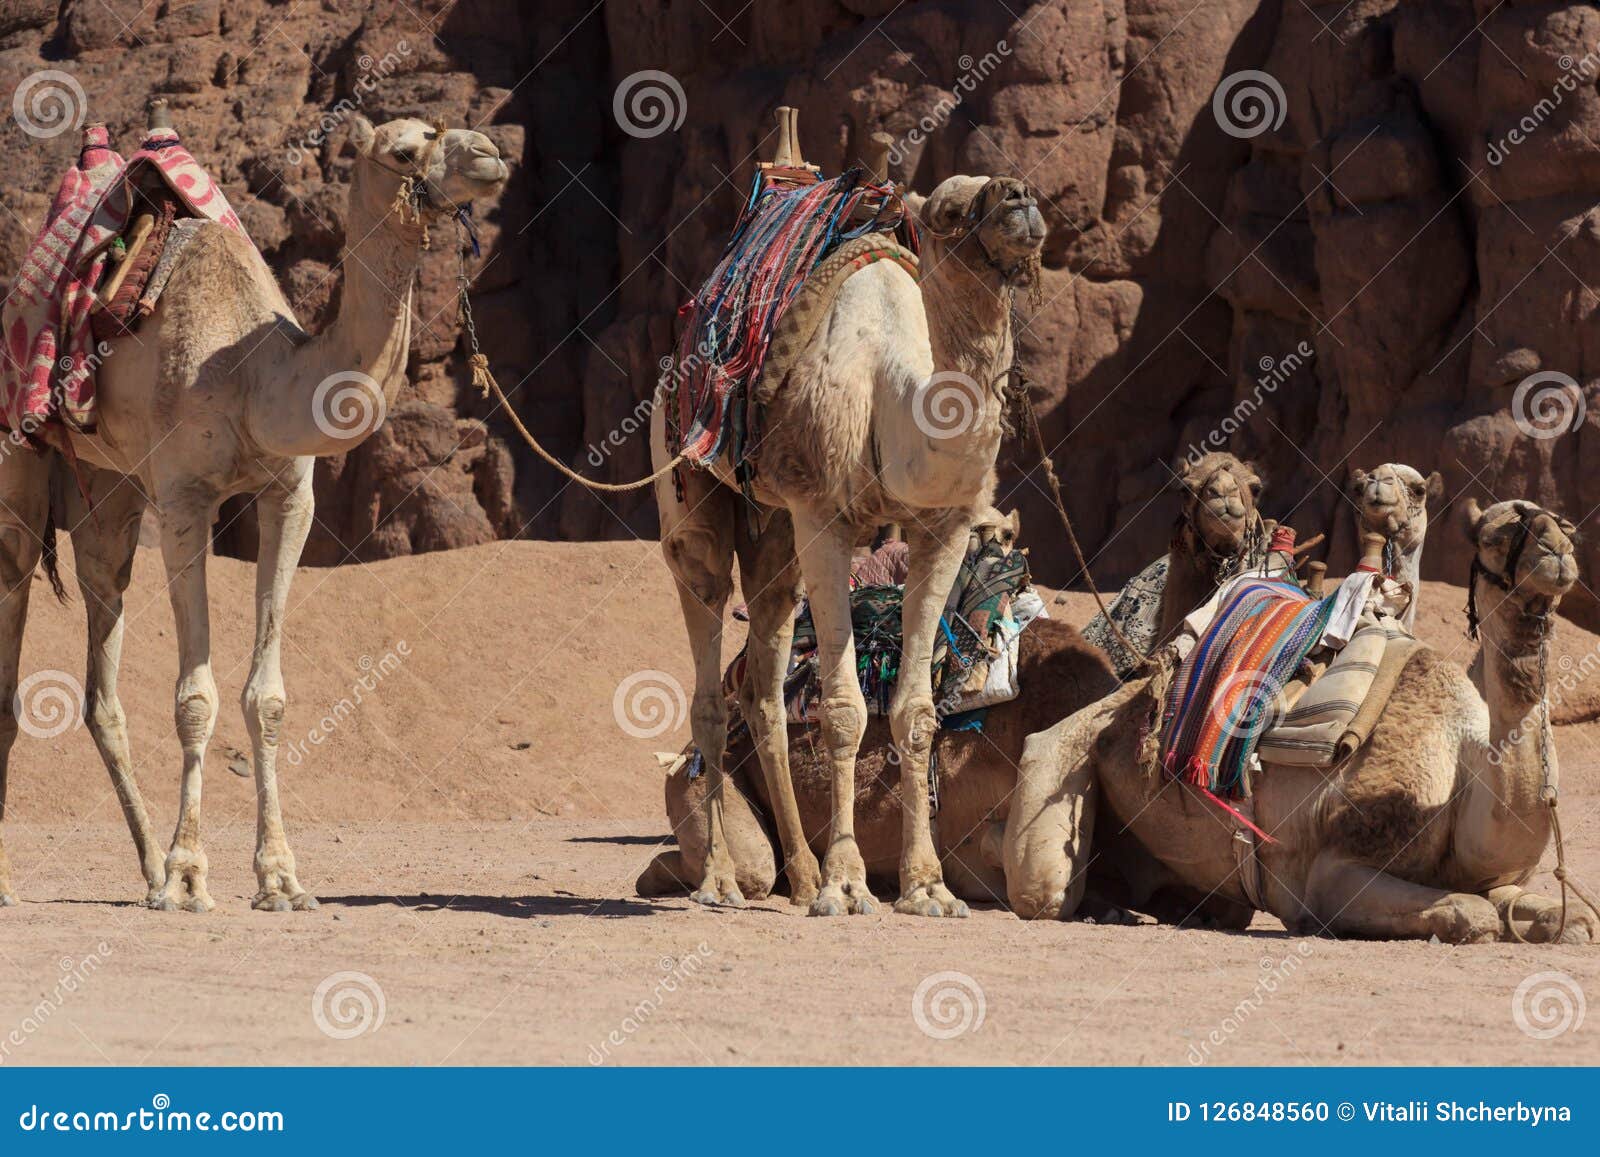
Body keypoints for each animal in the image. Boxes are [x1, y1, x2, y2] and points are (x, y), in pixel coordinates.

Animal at [0, 115, 507, 910]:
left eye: (444, 129)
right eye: (404, 148)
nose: (490, 156)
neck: (256, 375)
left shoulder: (289, 495)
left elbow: (266, 698)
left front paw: (279, 878)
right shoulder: (183, 497)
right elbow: (194, 697)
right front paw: (188, 875)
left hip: (108, 490)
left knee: (102, 654)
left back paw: (146, 870)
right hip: (20, 459)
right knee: (13, 595)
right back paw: (43, 879)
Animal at [651, 172, 1045, 918]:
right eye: (950, 211)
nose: (1020, 198)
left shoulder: (943, 526)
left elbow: (916, 711)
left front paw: (927, 888)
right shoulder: (823, 516)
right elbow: (842, 708)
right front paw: (846, 883)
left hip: (775, 533)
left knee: (766, 682)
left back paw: (800, 876)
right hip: (692, 486)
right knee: (709, 668)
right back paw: (722, 881)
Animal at [1004, 497, 1597, 944]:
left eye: (1561, 522)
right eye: (1497, 534)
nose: (1557, 549)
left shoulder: (1491, 875)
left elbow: (1572, 918)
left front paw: (1561, 923)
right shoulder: (1330, 875)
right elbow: (1471, 914)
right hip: (1066, 764)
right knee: (1046, 878)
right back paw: (1104, 907)